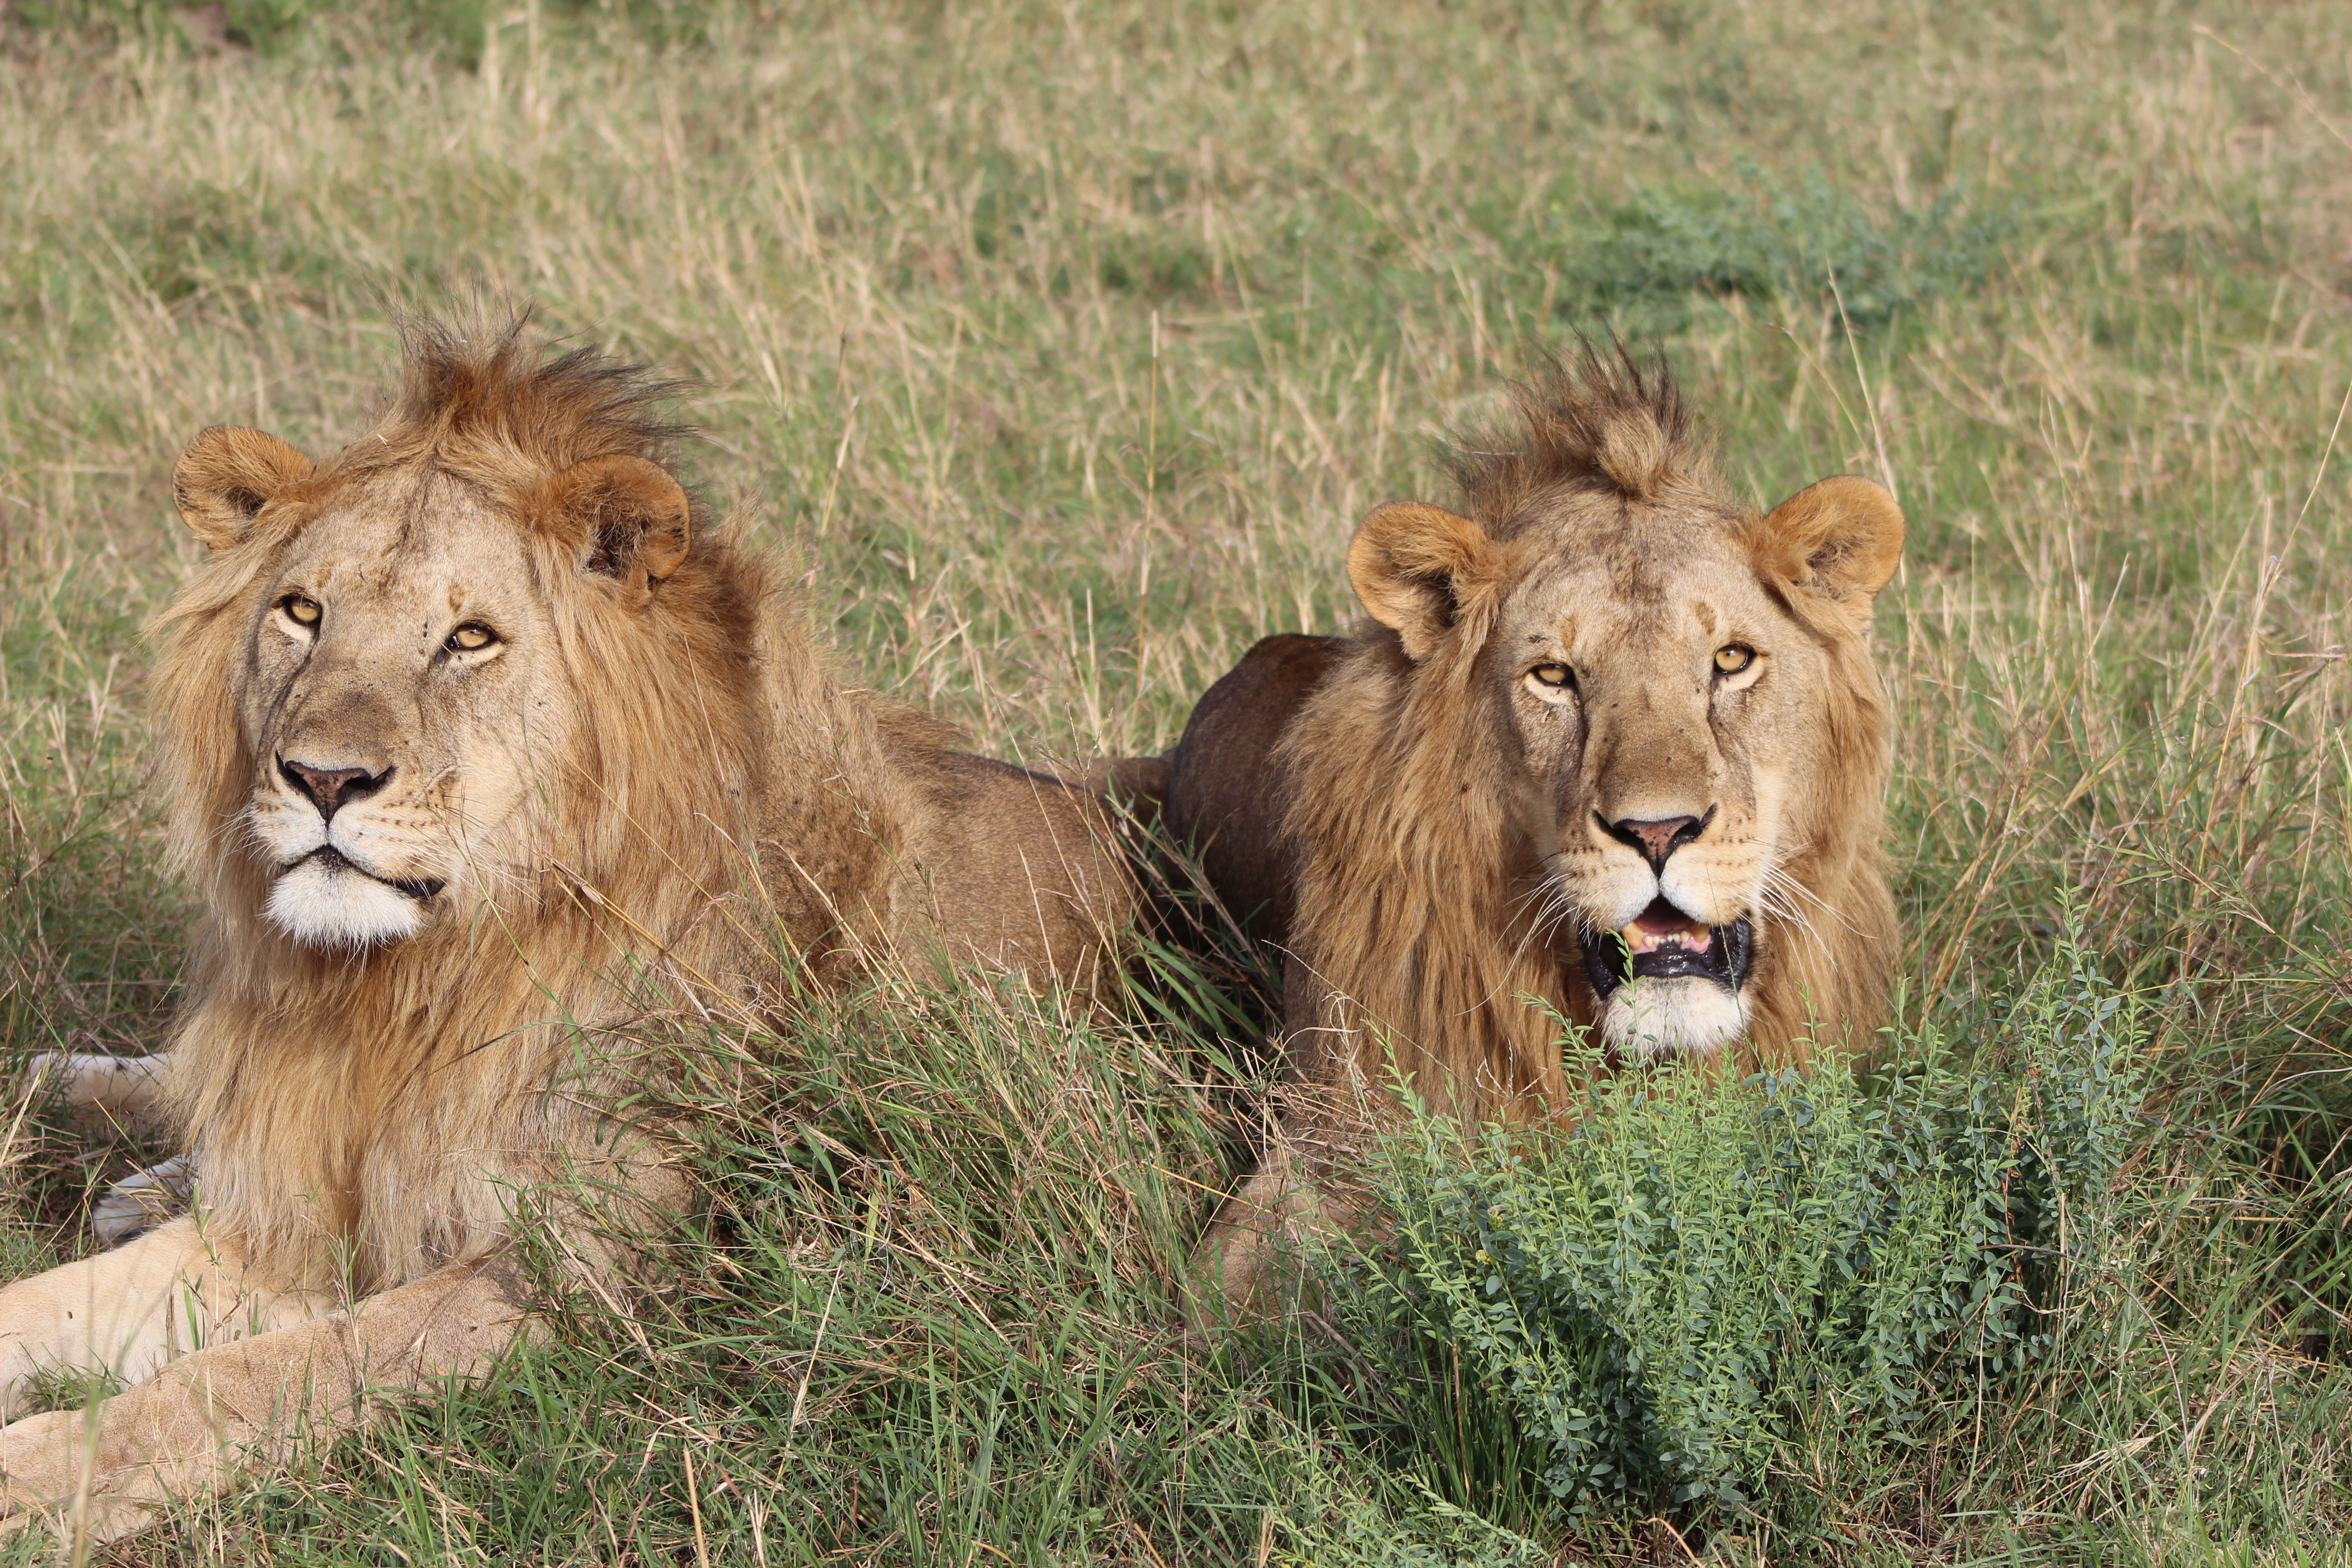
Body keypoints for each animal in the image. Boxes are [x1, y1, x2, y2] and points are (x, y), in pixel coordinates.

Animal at [0, 320, 1132, 1540]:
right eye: (302, 612)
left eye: (470, 639)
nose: (323, 779)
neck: (411, 991)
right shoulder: (304, 1211)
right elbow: (50, 1307)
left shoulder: (564, 1279)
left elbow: (246, 1380)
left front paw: (32, 1481)